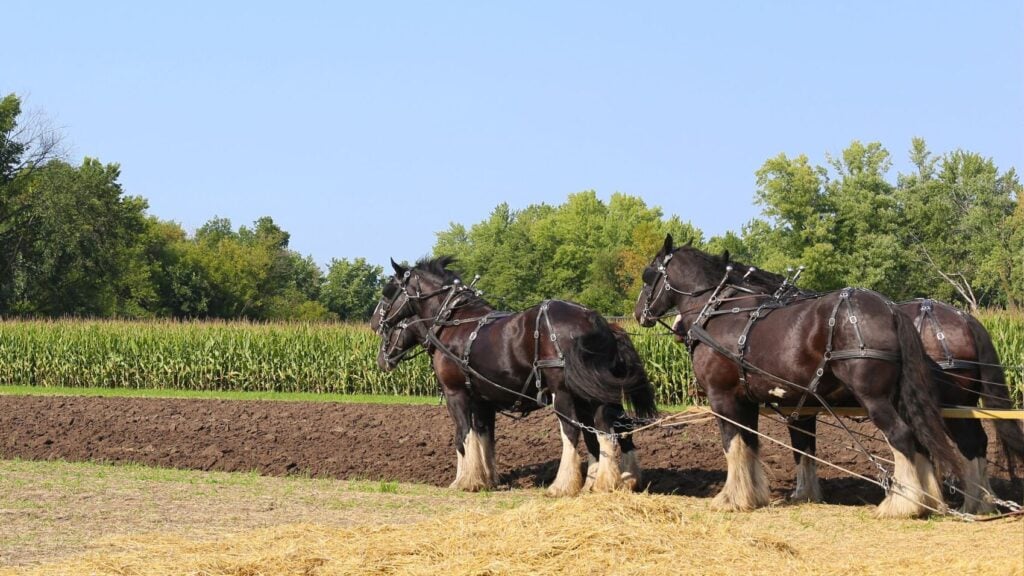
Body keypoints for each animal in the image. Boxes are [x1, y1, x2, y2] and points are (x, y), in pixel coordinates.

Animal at [373, 256, 658, 496]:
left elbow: (462, 435)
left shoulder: (457, 394)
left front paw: (464, 480)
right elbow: (485, 436)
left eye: (388, 292)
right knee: (607, 430)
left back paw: (564, 485)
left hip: (564, 393)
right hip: (593, 394)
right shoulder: (482, 400)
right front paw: (488, 479)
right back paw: (606, 482)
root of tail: (596, 320)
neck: (452, 322)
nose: (376, 323)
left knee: (574, 431)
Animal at [634, 235, 962, 517]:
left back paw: (901, 505)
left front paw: (730, 498)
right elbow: (750, 444)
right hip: (898, 397)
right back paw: (929, 502)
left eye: (648, 275)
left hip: (874, 398)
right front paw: (753, 496)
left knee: (902, 436)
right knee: (919, 438)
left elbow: (732, 445)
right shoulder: (747, 400)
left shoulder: (721, 397)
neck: (717, 310)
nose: (639, 313)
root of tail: (891, 309)